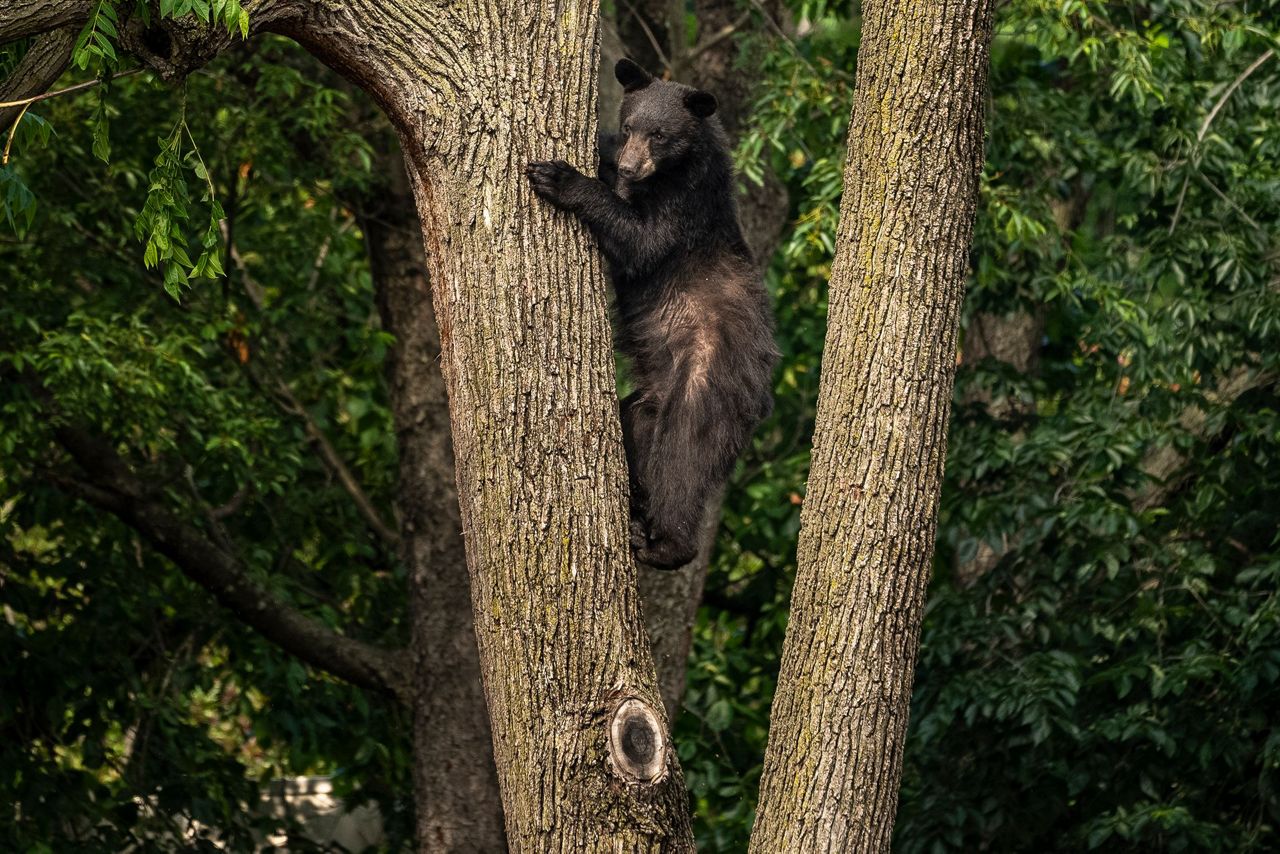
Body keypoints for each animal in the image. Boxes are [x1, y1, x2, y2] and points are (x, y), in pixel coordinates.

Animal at [526, 58, 777, 570]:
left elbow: (641, 240)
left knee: (685, 453)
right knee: (639, 423)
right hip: (653, 396)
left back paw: (666, 545)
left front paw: (559, 177)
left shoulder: (685, 206)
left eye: (660, 135)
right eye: (629, 127)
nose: (629, 164)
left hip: (709, 372)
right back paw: (638, 513)